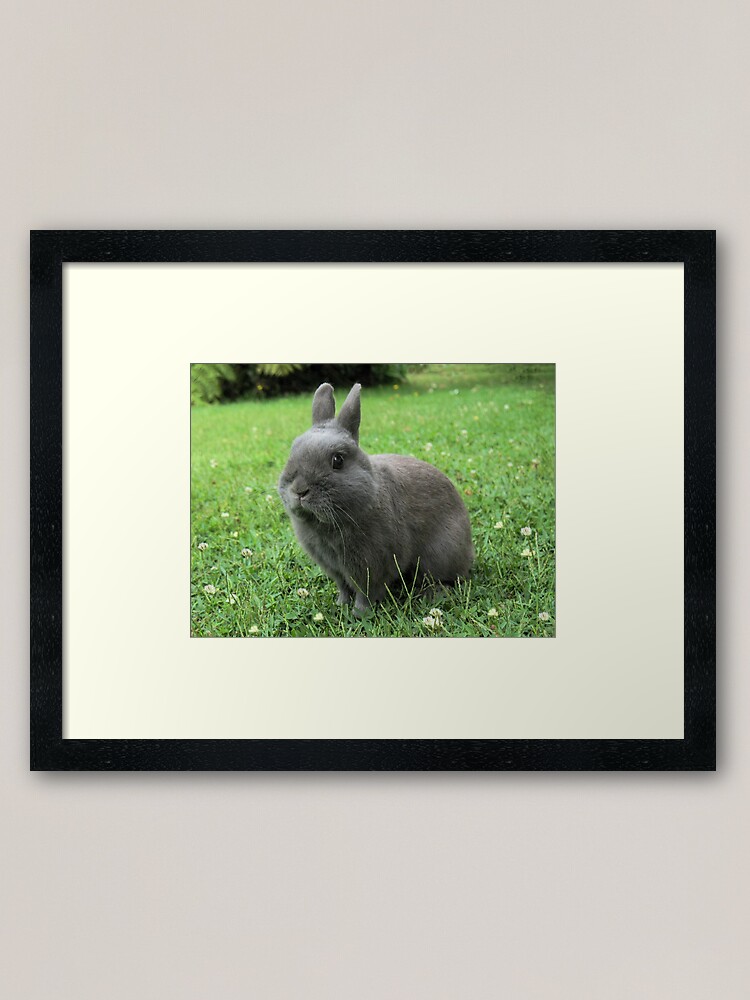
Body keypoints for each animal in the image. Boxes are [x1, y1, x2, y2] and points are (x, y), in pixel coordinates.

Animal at [278, 382, 474, 615]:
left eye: (338, 460)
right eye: (292, 451)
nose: (299, 490)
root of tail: (469, 550)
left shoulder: (371, 567)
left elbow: (366, 592)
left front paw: (359, 614)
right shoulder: (335, 569)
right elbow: (343, 587)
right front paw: (341, 605)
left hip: (438, 557)